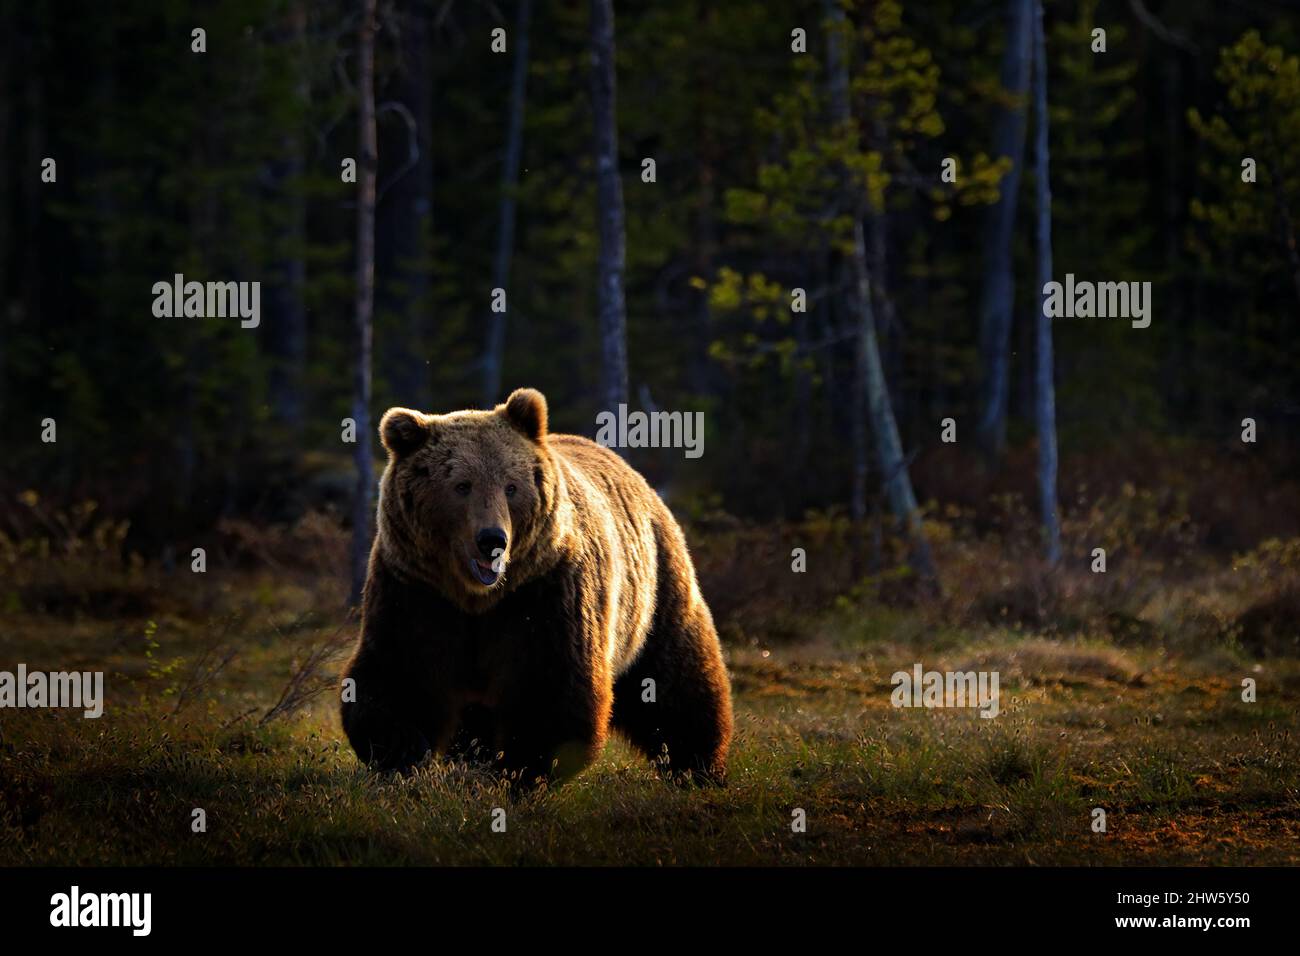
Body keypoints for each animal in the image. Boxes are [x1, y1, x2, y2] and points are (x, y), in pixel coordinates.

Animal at [340, 387, 733, 787]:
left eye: (511, 487)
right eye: (461, 485)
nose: (492, 540)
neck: (478, 597)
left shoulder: (544, 589)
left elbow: (549, 686)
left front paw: (523, 769)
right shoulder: (416, 588)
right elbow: (401, 673)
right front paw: (399, 753)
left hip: (654, 591)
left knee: (674, 679)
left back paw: (698, 765)